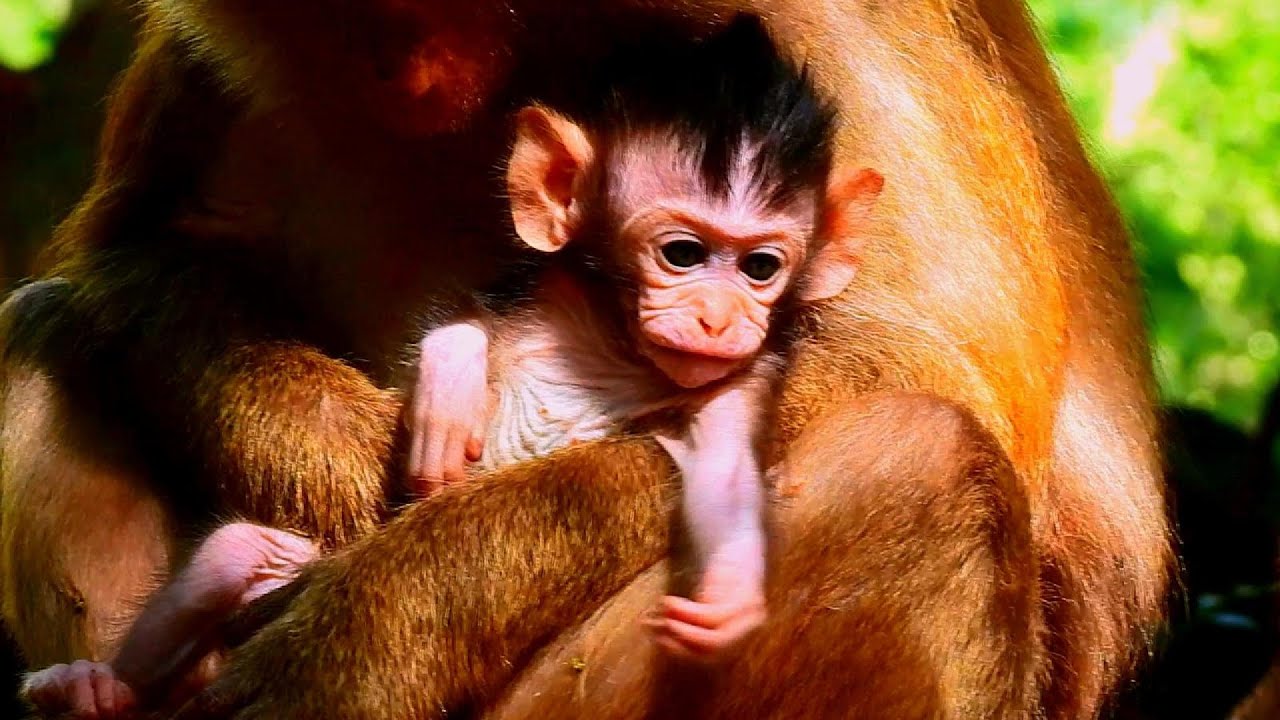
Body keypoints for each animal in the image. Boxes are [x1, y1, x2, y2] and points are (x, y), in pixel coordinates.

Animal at [0, 2, 1169, 718]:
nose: (408, 70)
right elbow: (142, 248)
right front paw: (345, 461)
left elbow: (918, 361)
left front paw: (384, 615)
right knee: (47, 332)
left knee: (922, 463)